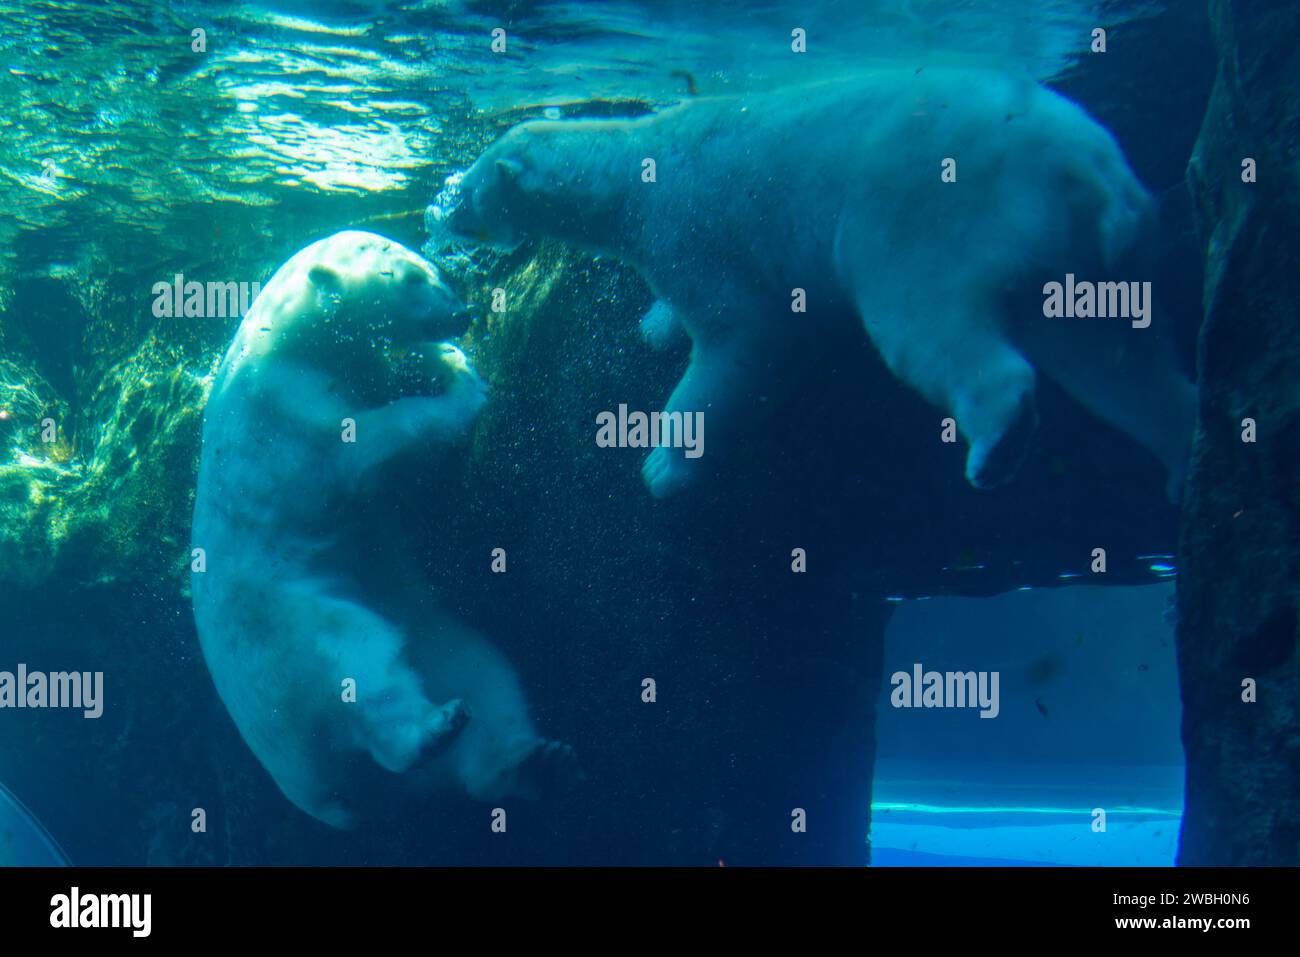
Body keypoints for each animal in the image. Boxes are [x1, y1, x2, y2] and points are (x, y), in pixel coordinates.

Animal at [191, 231, 568, 829]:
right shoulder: (286, 411)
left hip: (431, 632)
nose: (462, 315)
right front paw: (467, 391)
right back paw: (431, 730)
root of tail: (325, 796)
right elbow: (369, 450)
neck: (286, 338)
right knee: (362, 671)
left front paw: (452, 360)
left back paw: (533, 761)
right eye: (412, 279)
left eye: (435, 269)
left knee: (487, 677)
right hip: (290, 629)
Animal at [440, 67, 1196, 501]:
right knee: (1118, 360)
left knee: (931, 326)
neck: (632, 168)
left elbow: (744, 341)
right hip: (1097, 260)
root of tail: (1088, 169)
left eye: (474, 173)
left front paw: (661, 466)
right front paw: (652, 326)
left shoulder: (692, 228)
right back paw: (1181, 458)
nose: (443, 204)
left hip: (924, 219)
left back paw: (997, 443)